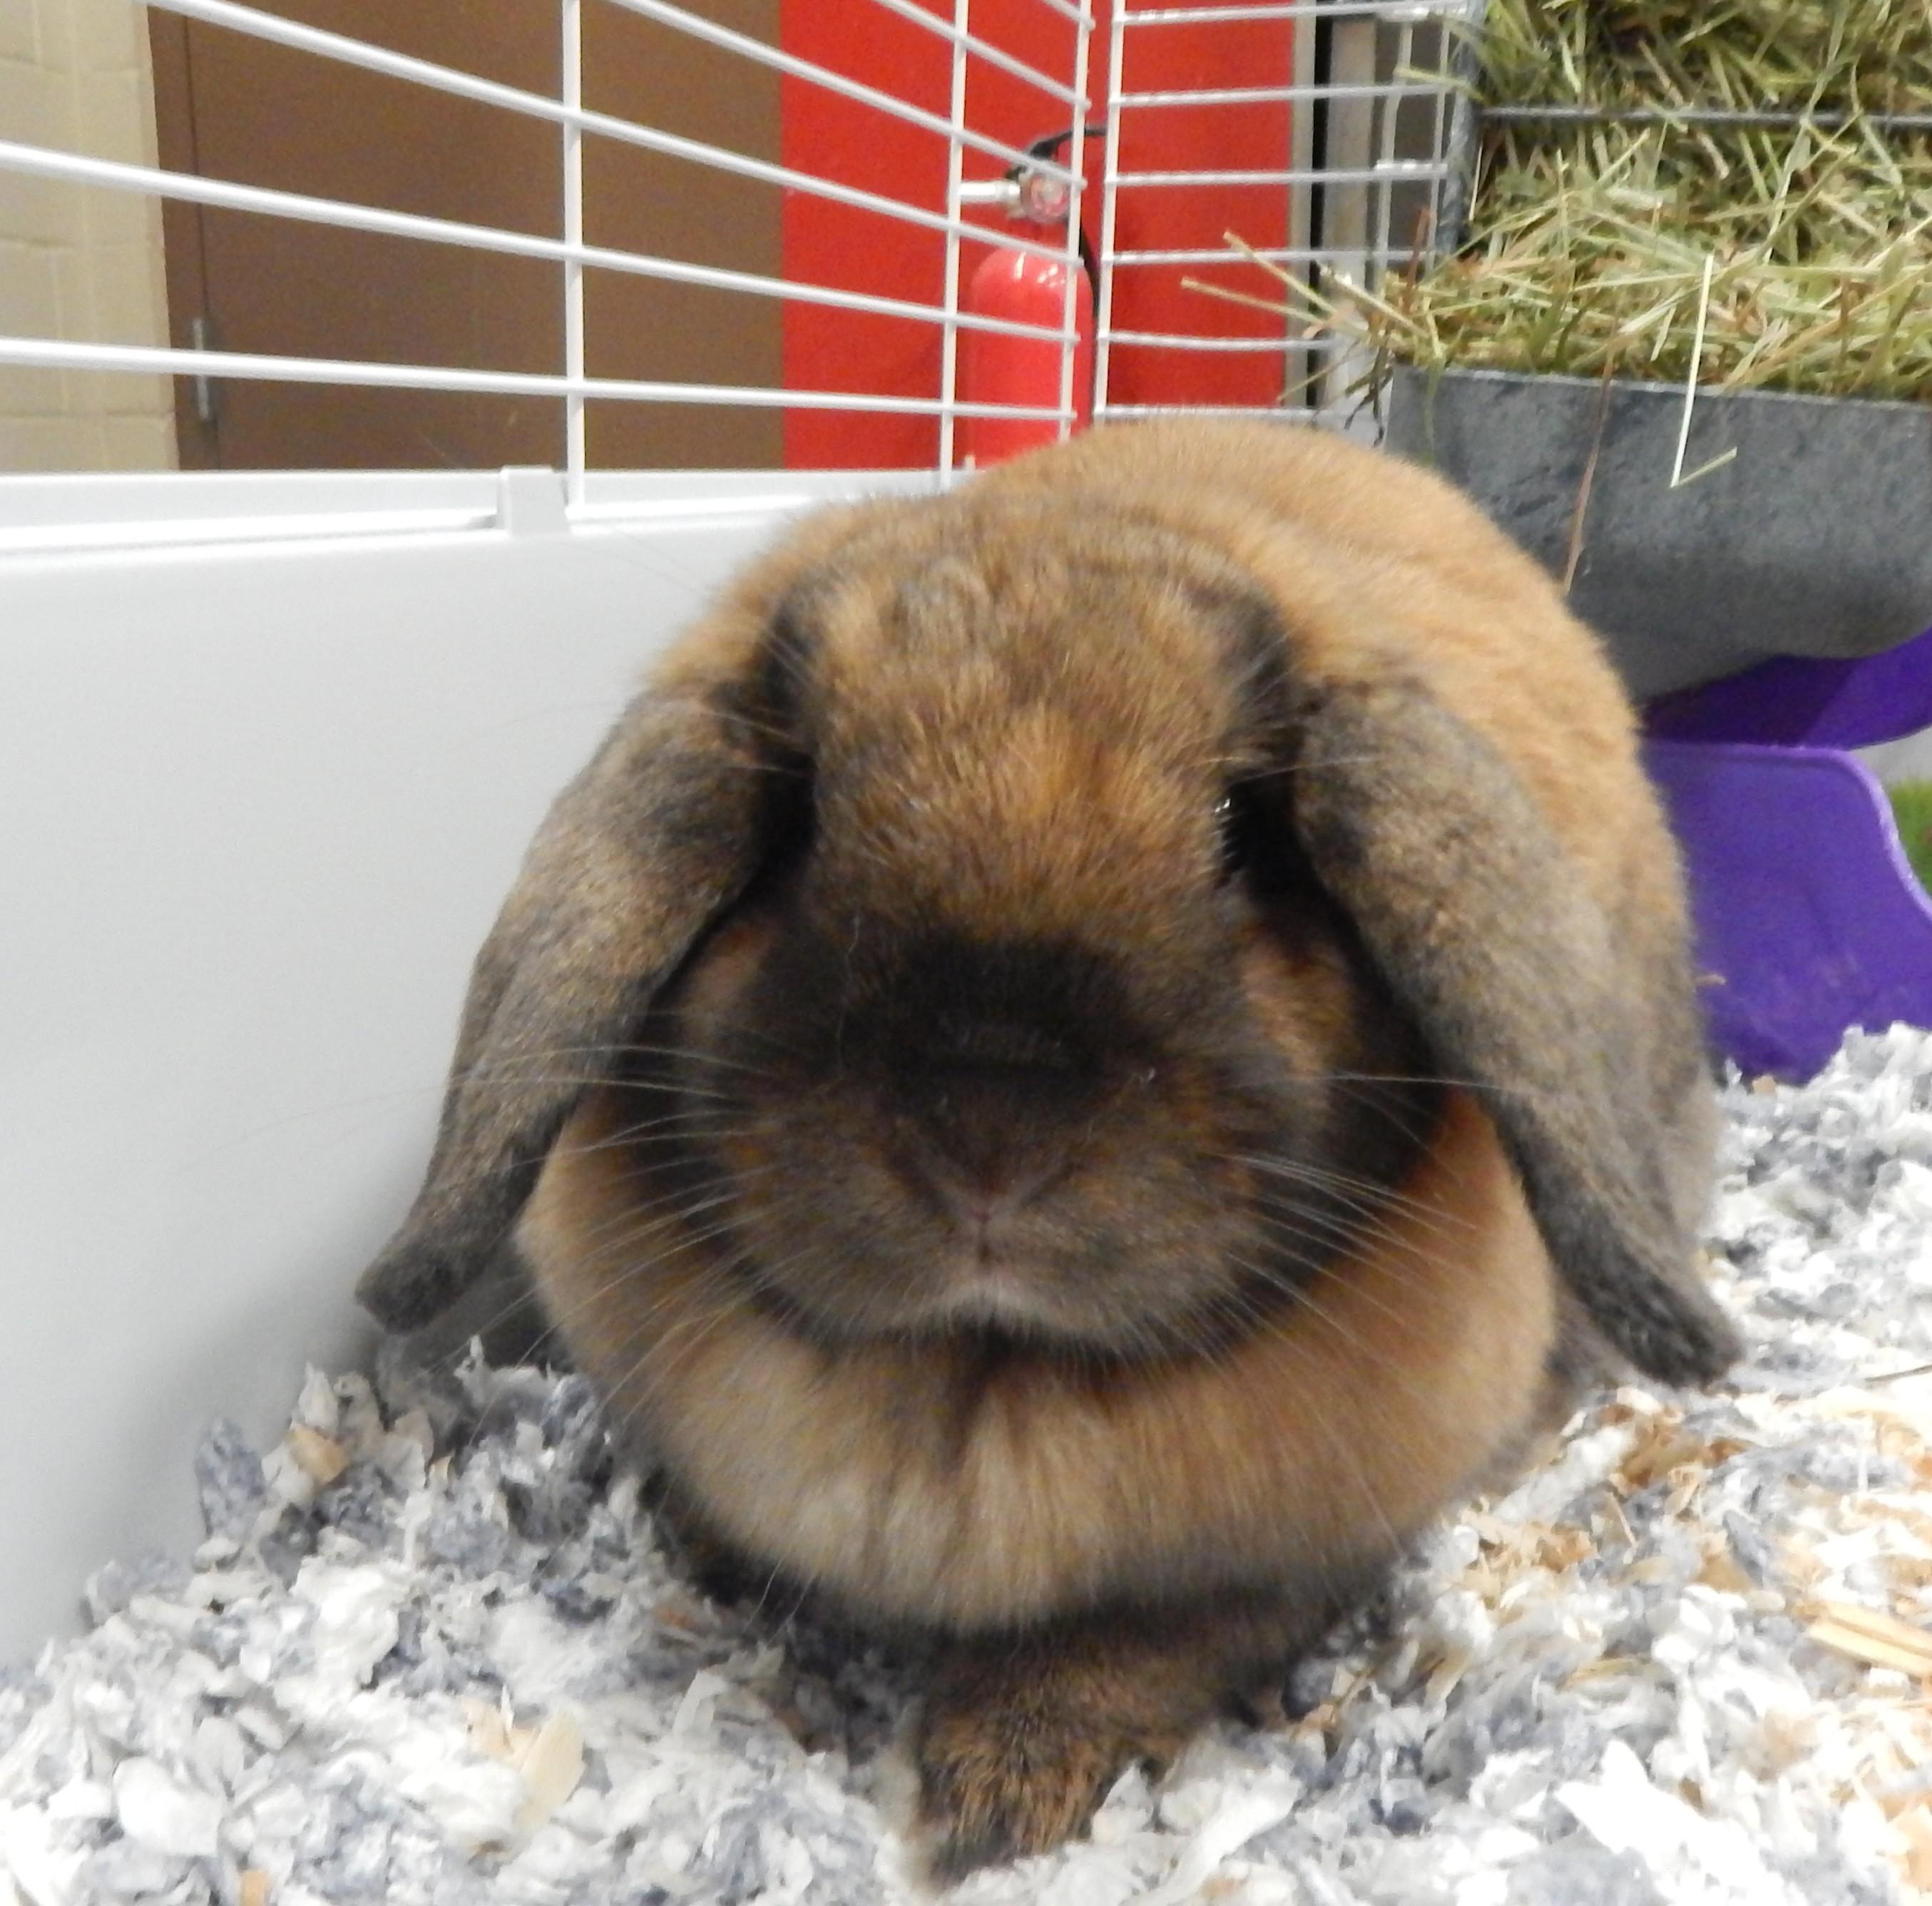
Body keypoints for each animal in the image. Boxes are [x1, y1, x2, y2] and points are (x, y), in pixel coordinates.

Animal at [357, 416, 1738, 1875]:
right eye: (796, 814)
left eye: (1247, 829)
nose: (987, 1138)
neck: (980, 1389)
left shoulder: (1279, 1564)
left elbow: (1132, 1647)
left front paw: (995, 1796)